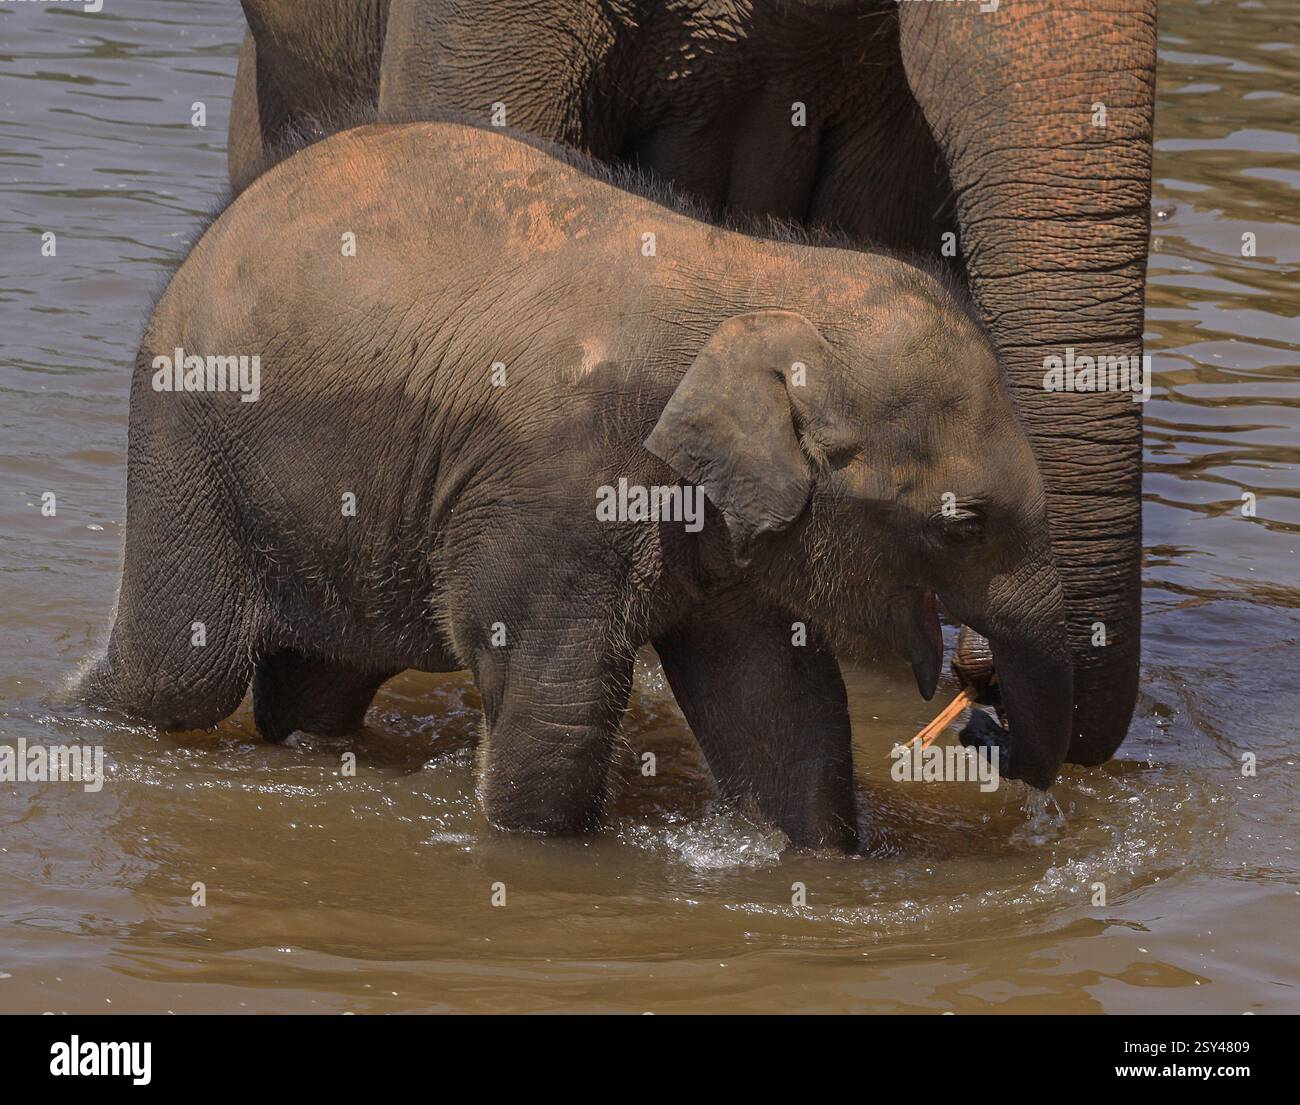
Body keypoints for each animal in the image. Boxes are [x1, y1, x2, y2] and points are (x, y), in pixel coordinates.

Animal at [83, 120, 1074, 850]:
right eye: (962, 524)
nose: (981, 696)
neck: (765, 275)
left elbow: (781, 710)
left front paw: (822, 864)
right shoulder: (560, 485)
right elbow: (551, 716)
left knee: (318, 681)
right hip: (187, 442)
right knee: (182, 674)